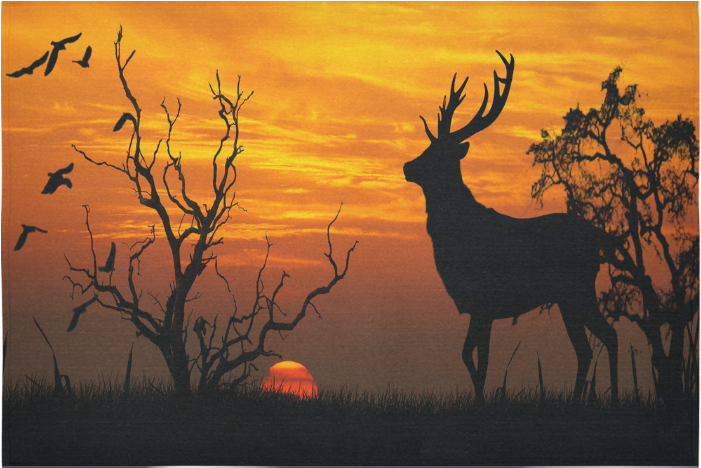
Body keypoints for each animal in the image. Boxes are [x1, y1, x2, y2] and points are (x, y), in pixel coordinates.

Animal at [403, 51, 619, 404]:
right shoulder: (479, 308)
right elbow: (469, 355)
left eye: (439, 152)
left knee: (604, 338)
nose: (408, 166)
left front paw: (481, 402)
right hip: (569, 296)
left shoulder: (484, 300)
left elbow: (480, 360)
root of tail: (598, 236)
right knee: (591, 346)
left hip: (577, 288)